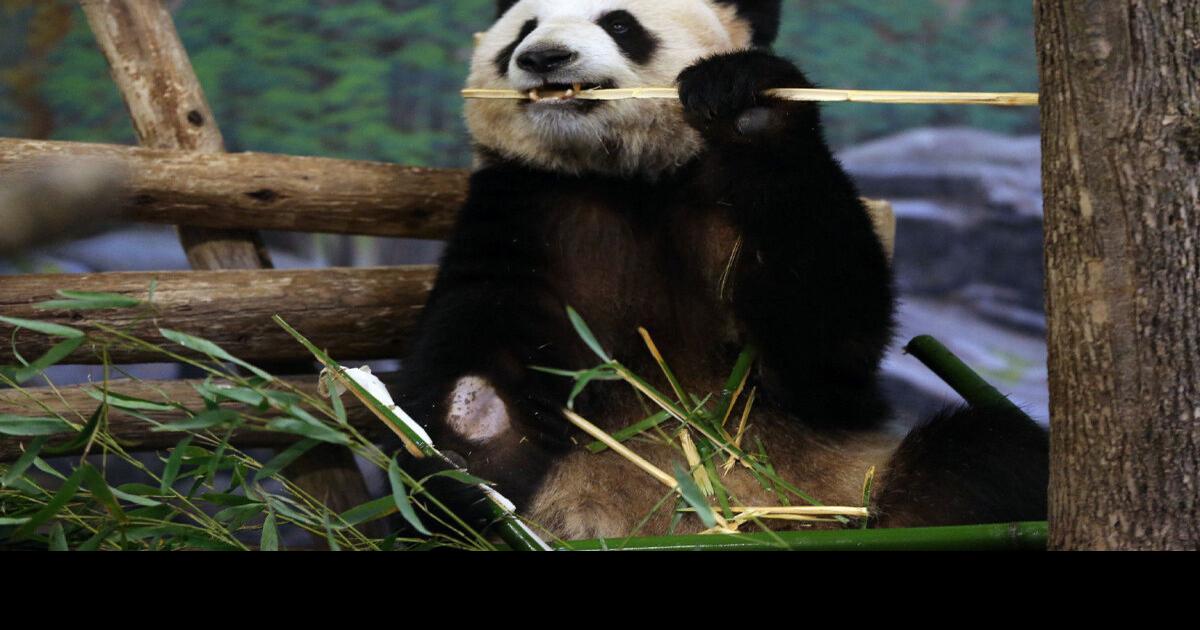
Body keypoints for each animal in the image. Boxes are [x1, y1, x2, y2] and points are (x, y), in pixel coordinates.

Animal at [395, 0, 1049, 540]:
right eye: (523, 30)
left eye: (620, 24)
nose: (543, 57)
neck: (626, 179)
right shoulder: (522, 216)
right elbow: (472, 371)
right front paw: (473, 416)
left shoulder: (728, 208)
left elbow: (826, 346)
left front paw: (745, 106)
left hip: (846, 485)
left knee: (985, 462)